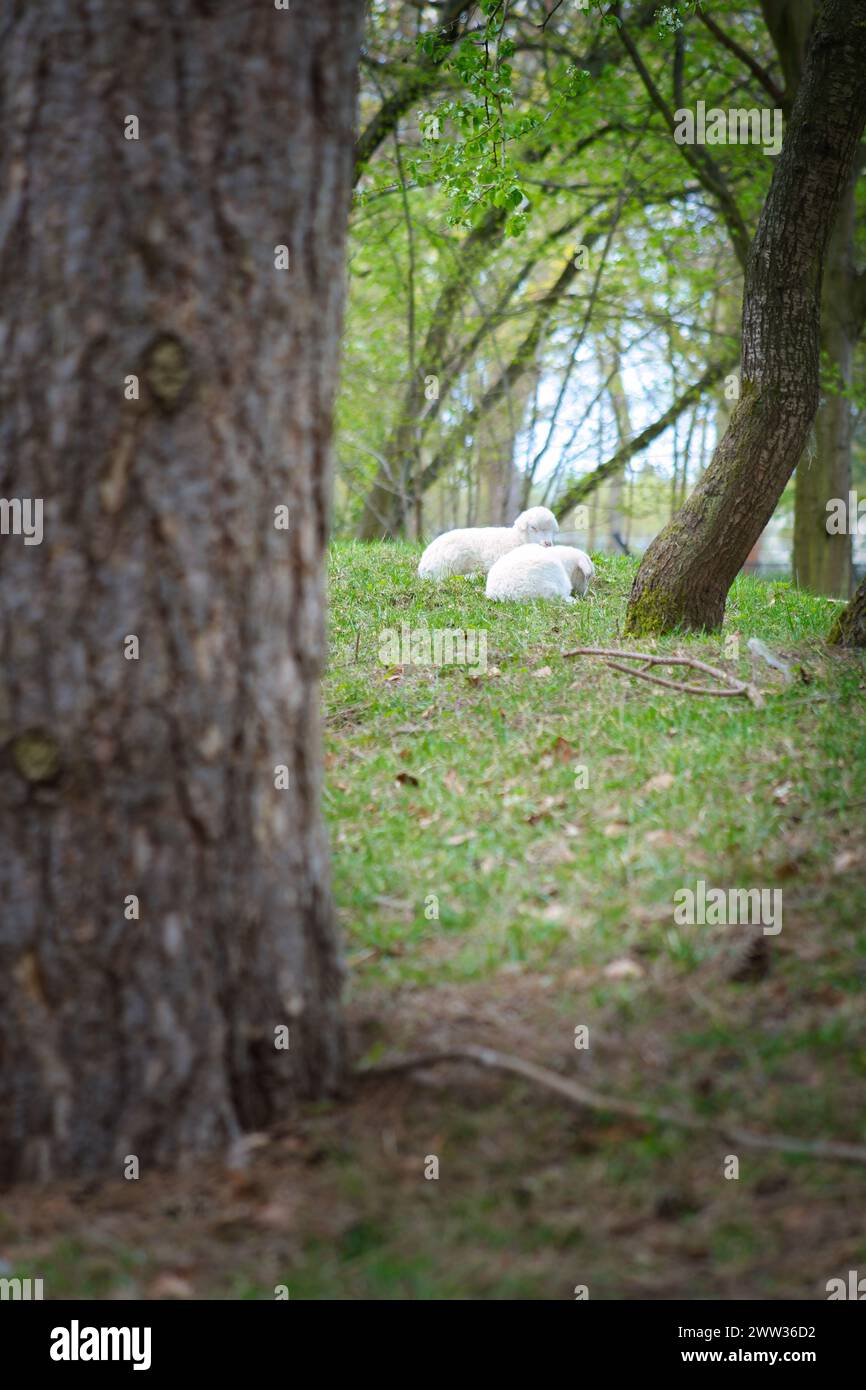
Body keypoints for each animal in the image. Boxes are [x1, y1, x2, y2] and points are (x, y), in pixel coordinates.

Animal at [416, 506, 558, 580]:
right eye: (533, 527)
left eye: (552, 530)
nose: (548, 543)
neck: (516, 539)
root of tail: (423, 566)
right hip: (452, 559)